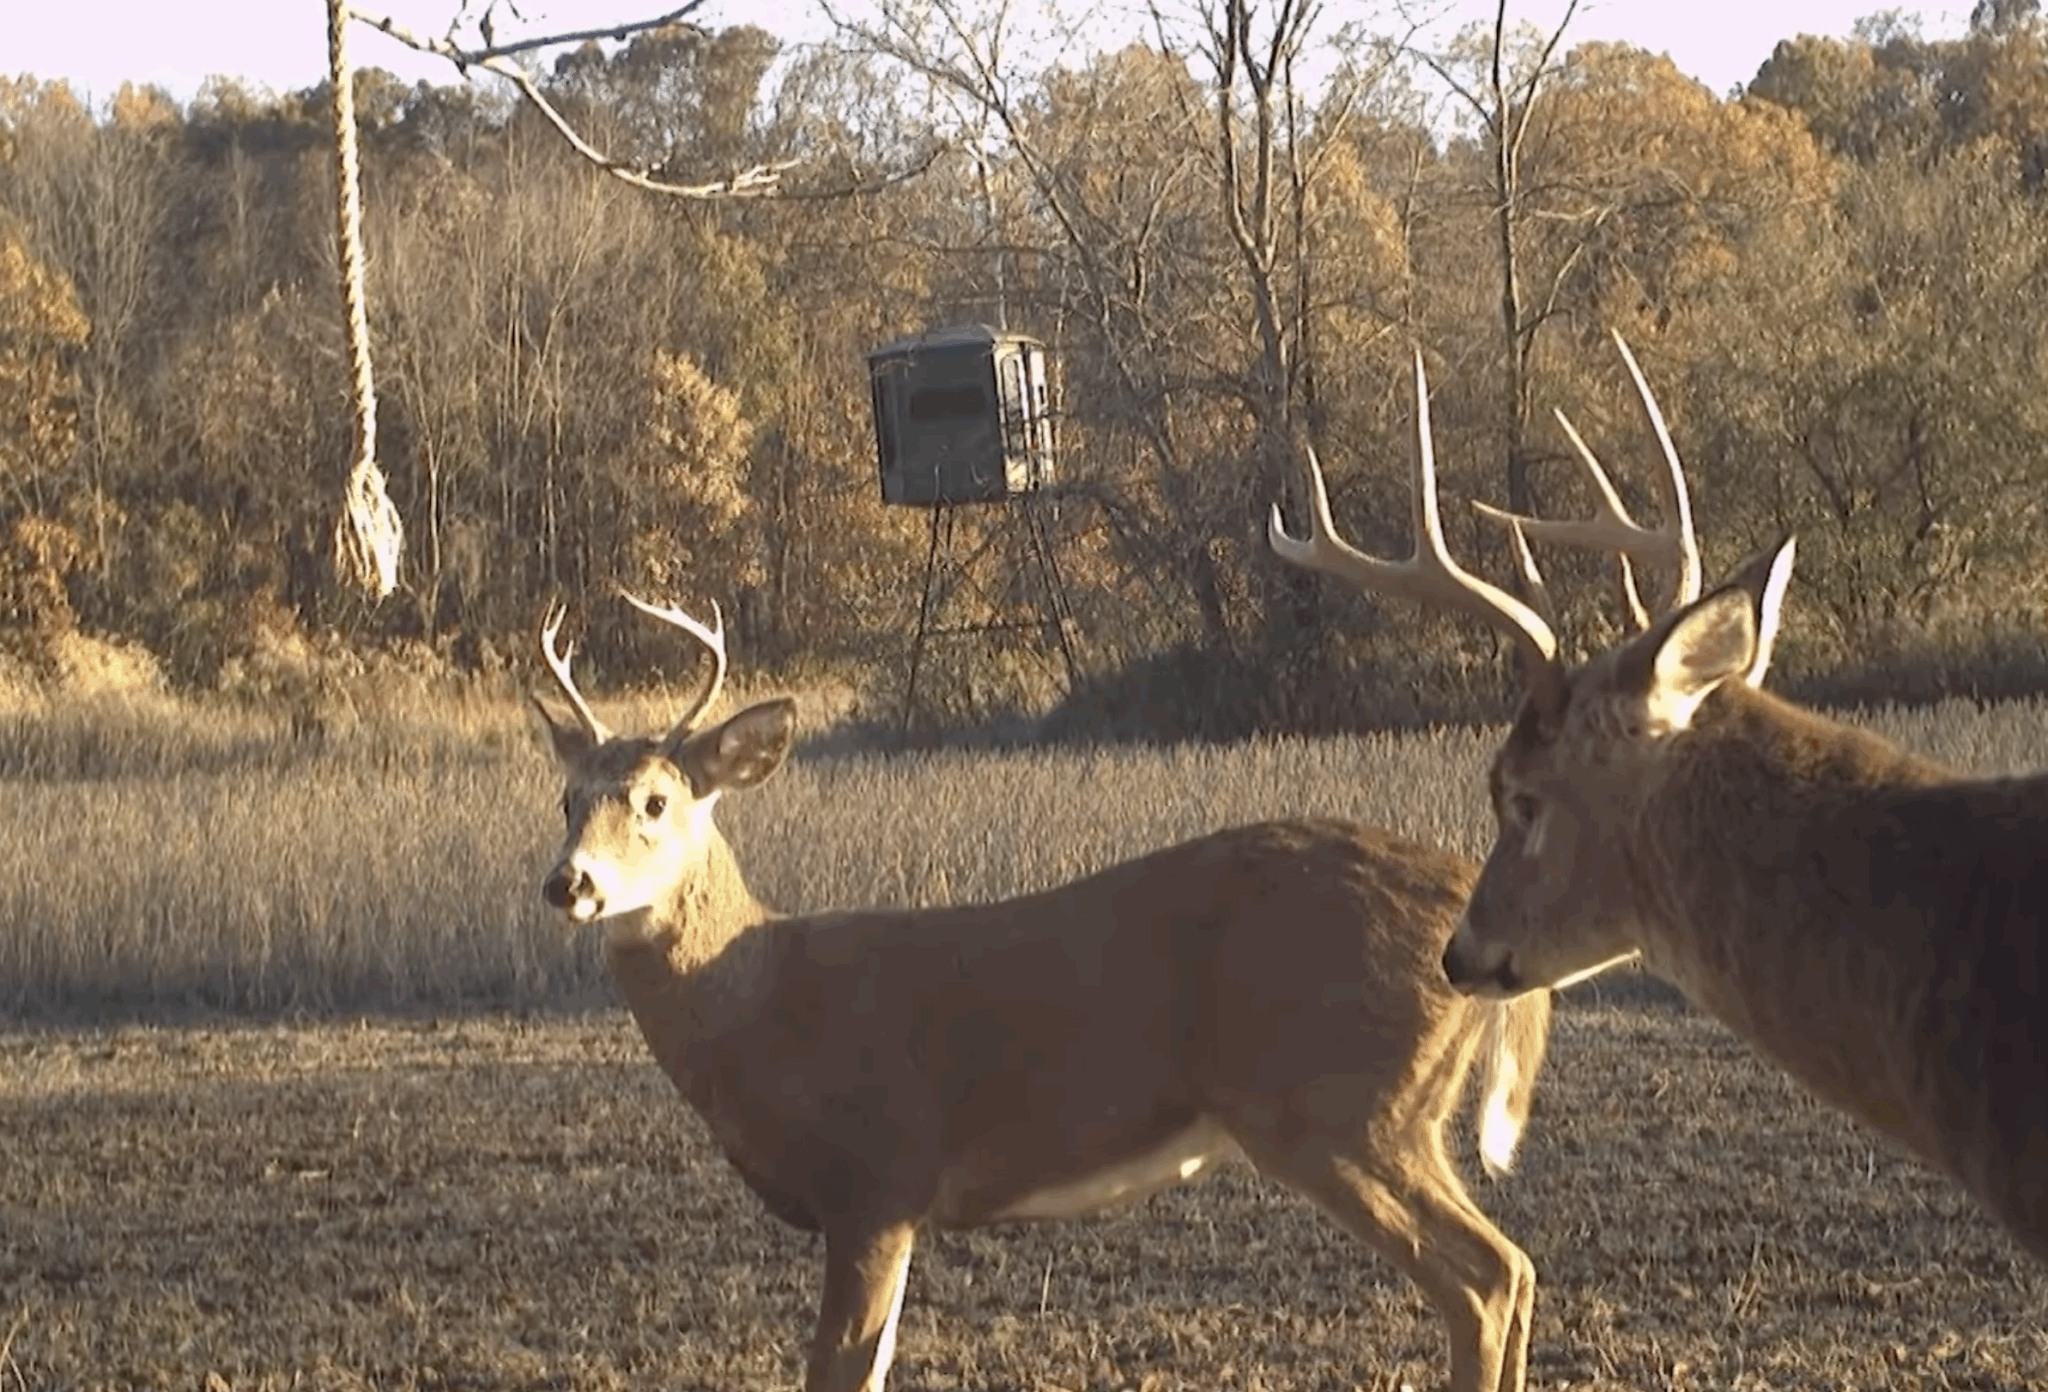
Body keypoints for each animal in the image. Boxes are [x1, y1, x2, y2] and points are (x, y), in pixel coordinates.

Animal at [530, 591, 1555, 1392]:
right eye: (567, 799)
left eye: (656, 800)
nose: (568, 883)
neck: (765, 1005)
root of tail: (1469, 907)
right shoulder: (889, 1204)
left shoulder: (877, 1175)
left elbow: (838, 1370)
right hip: (1383, 1112)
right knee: (1512, 1271)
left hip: (1339, 1107)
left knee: (1485, 1278)